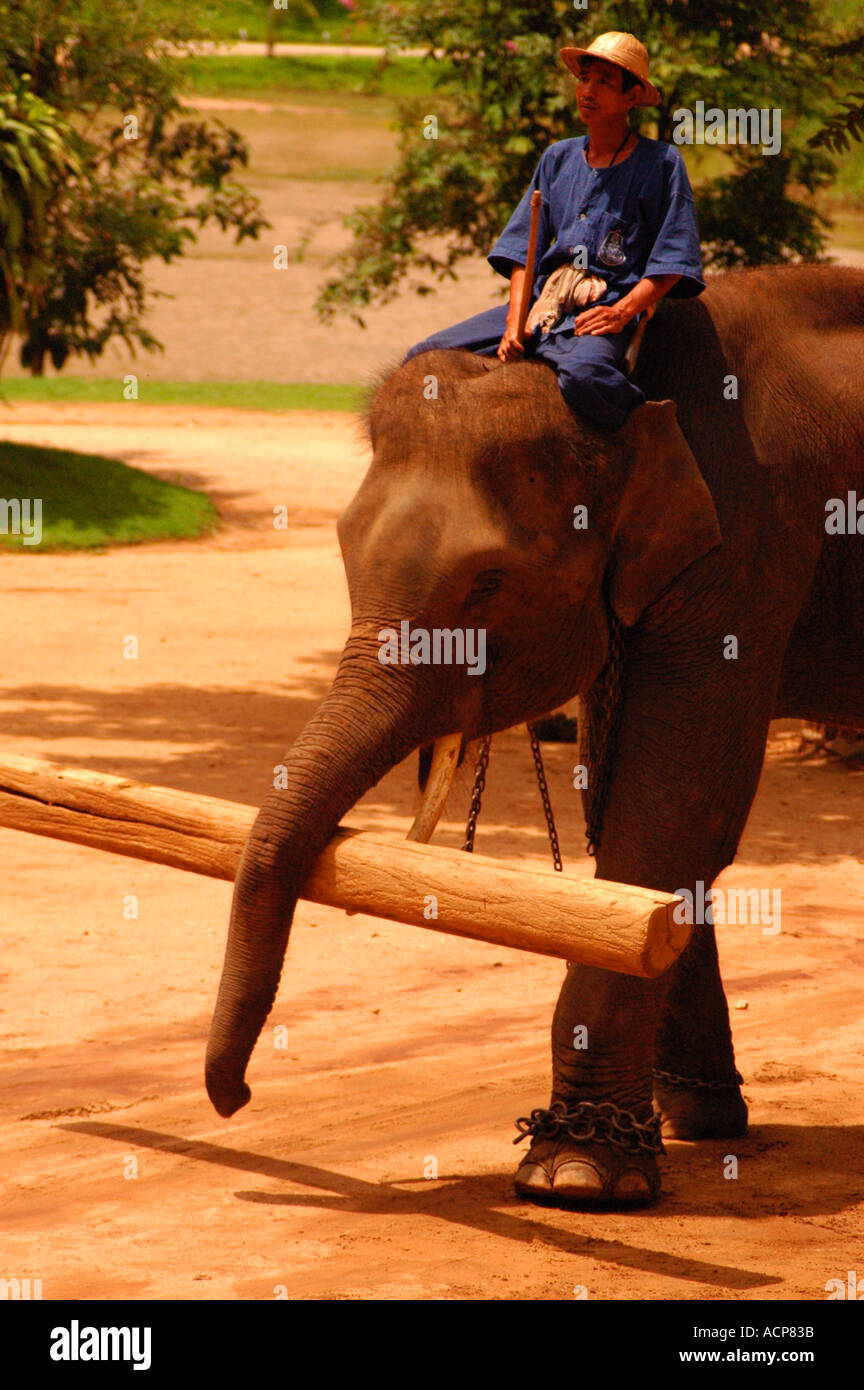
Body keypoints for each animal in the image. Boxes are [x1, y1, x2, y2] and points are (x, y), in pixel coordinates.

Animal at [206, 263, 864, 1207]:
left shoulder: (749, 544)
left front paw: (577, 1173)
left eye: (489, 582)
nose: (238, 1097)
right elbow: (628, 802)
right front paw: (695, 1124)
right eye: (341, 547)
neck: (637, 389)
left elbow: (673, 807)